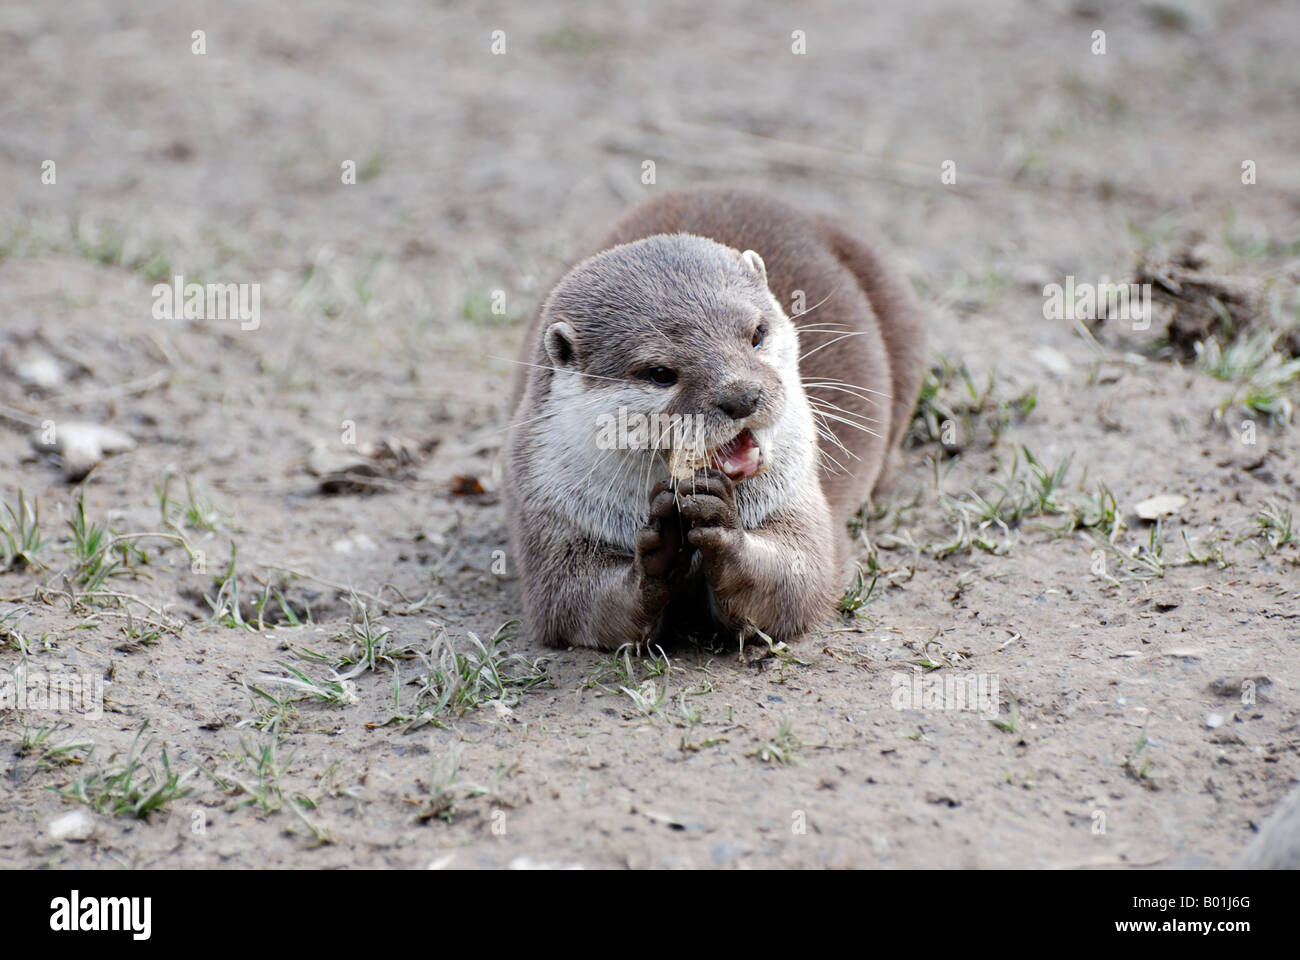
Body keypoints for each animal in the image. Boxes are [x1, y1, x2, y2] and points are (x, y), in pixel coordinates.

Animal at [505, 186, 924, 651]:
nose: (742, 396)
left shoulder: (795, 495)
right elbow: (569, 600)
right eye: (660, 373)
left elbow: (801, 579)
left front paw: (723, 527)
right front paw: (656, 554)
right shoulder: (549, 507)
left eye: (757, 334)